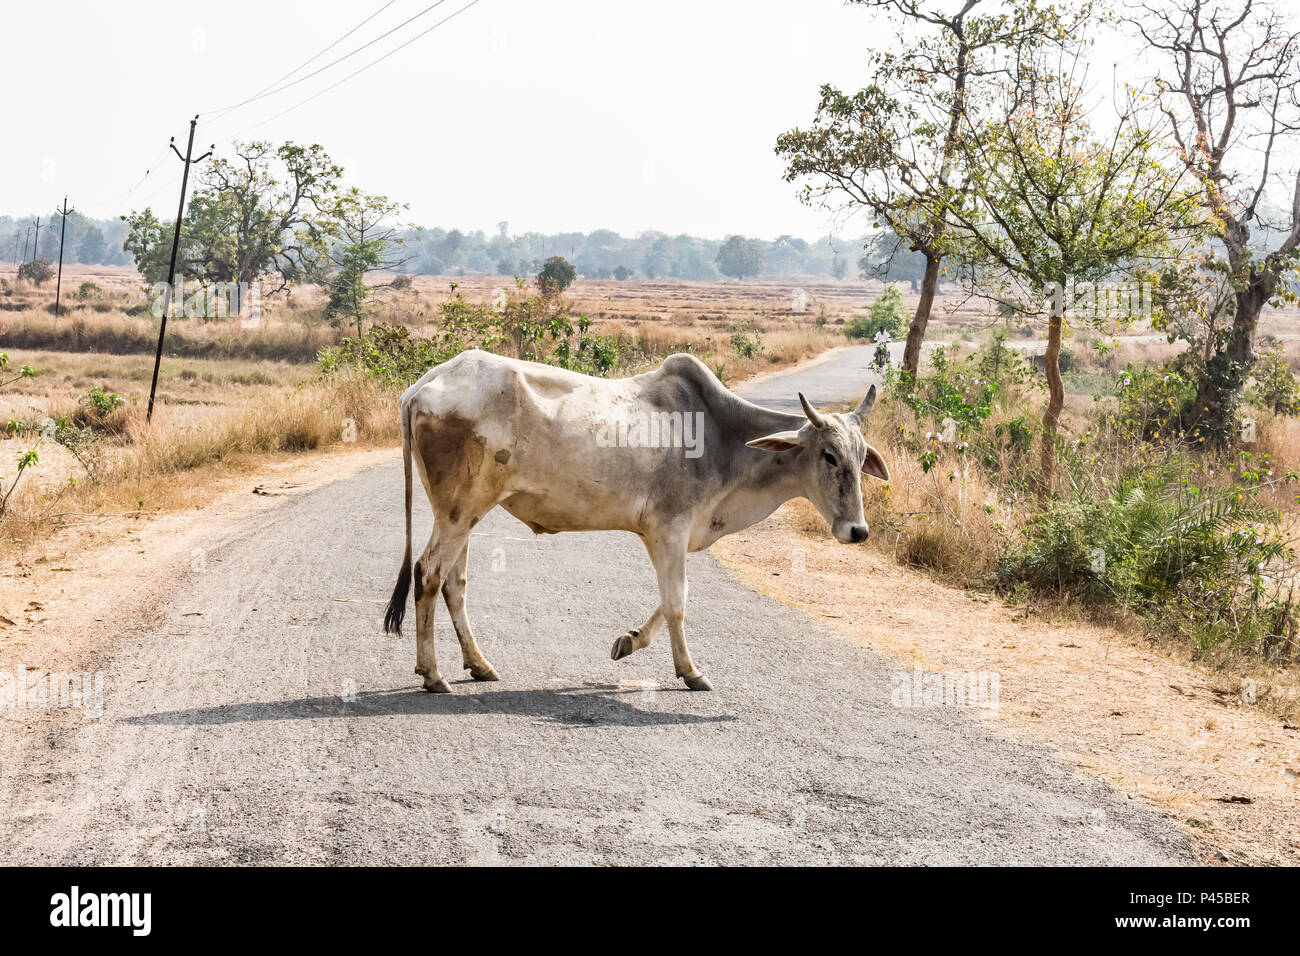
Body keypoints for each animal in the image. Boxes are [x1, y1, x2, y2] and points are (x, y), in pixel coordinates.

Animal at [383, 349, 889, 692]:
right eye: (828, 455)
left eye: (860, 456)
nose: (857, 530)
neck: (722, 439)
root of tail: (423, 386)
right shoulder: (671, 529)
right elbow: (678, 601)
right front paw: (691, 672)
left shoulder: (664, 535)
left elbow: (669, 601)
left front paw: (627, 642)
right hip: (459, 511)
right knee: (428, 574)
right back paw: (433, 675)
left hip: (463, 514)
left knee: (453, 584)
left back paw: (479, 665)